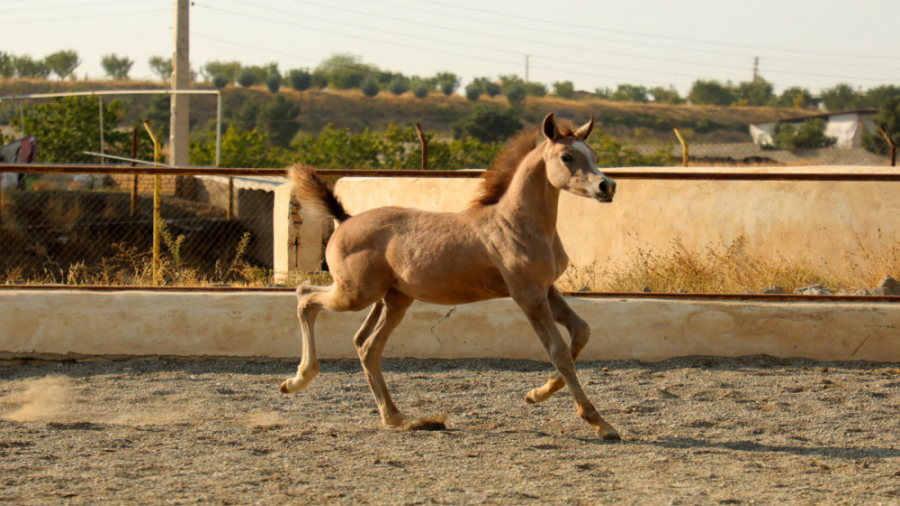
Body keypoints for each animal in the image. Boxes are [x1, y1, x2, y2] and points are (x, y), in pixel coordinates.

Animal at [281, 113, 620, 439]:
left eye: (594, 155)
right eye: (567, 157)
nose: (607, 187)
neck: (519, 223)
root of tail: (345, 219)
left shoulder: (547, 288)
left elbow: (581, 331)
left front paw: (537, 394)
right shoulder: (528, 294)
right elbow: (558, 351)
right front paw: (600, 423)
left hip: (394, 298)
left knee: (366, 345)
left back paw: (396, 417)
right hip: (356, 293)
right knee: (305, 297)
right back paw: (298, 380)